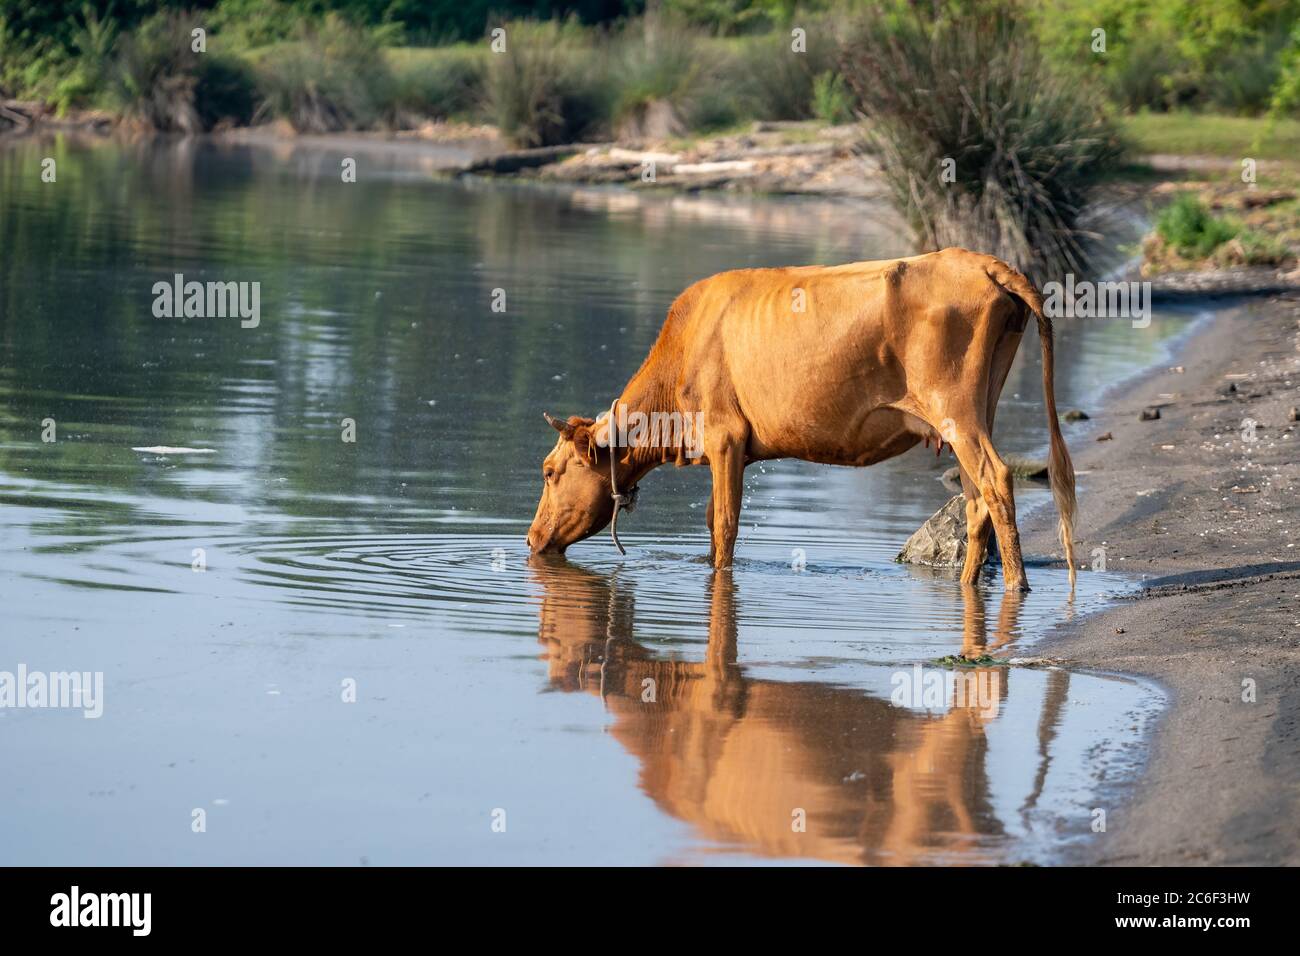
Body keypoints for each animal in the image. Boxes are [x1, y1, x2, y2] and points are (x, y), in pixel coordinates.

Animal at [527, 247, 1077, 592]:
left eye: (550, 473)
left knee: (996, 479)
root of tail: (982, 262)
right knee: (975, 497)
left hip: (955, 409)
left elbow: (724, 524)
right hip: (971, 414)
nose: (530, 539)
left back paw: (1018, 585)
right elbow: (712, 522)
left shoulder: (725, 437)